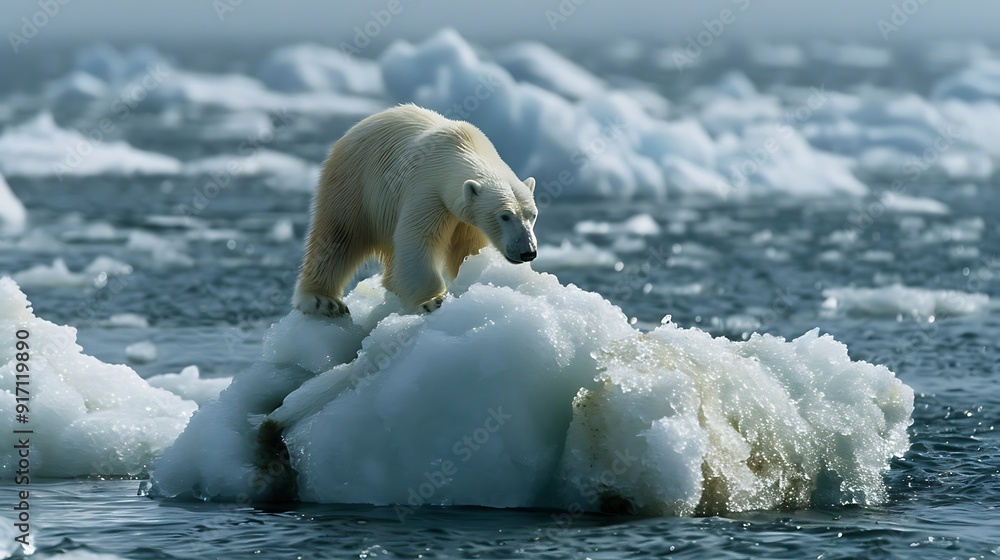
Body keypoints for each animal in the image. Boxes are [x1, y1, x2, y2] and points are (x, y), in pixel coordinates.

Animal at [294, 104, 539, 317]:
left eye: (532, 215)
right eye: (505, 216)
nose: (528, 252)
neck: (462, 145)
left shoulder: (464, 217)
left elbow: (468, 246)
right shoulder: (427, 190)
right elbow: (418, 240)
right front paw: (432, 301)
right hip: (354, 183)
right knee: (339, 237)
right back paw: (322, 300)